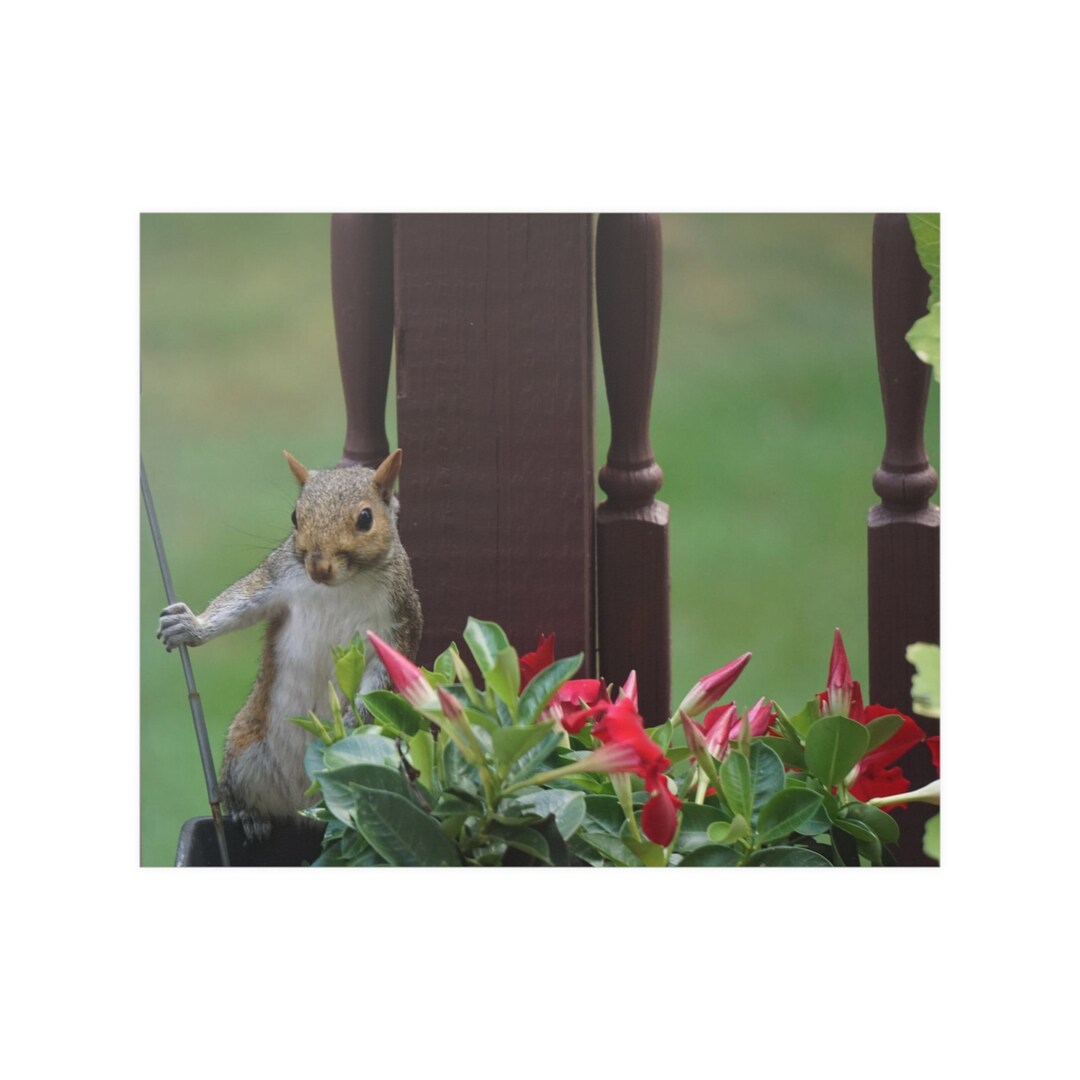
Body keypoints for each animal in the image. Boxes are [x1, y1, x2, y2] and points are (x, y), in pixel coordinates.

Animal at [157, 448, 422, 840]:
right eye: (296, 516)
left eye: (365, 518)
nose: (318, 567)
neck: (342, 585)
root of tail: (304, 807)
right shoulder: (279, 578)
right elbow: (238, 604)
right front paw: (190, 626)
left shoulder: (398, 622)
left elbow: (383, 674)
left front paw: (349, 717)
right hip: (244, 752)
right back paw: (251, 817)